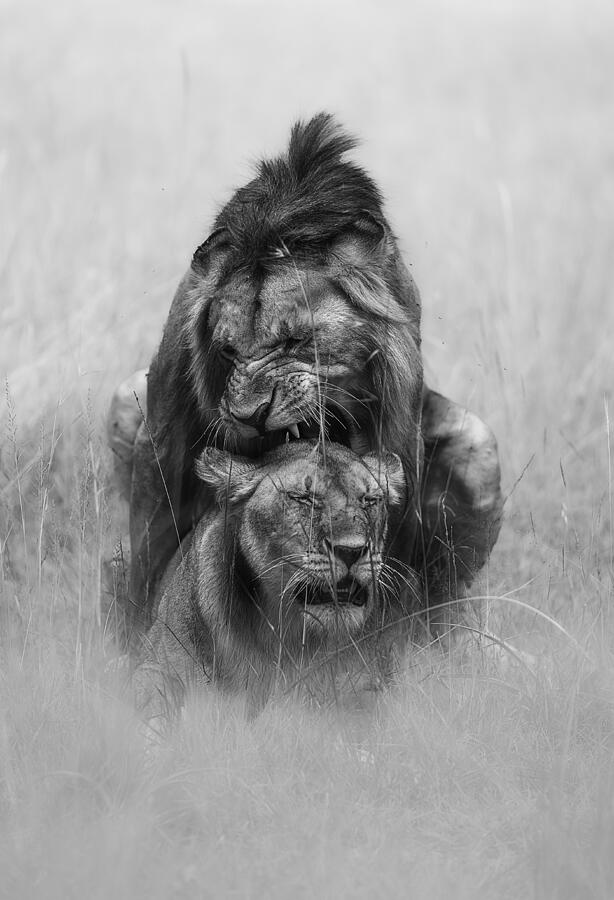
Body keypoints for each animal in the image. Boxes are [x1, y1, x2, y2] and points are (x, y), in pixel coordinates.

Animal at [118, 112, 502, 644]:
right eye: (227, 351)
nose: (249, 415)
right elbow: (151, 547)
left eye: (296, 341)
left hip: (476, 447)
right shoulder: (163, 434)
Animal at [131, 440, 413, 725]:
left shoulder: (370, 682)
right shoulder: (153, 665)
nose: (351, 550)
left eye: (370, 500)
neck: (286, 633)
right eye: (303, 497)